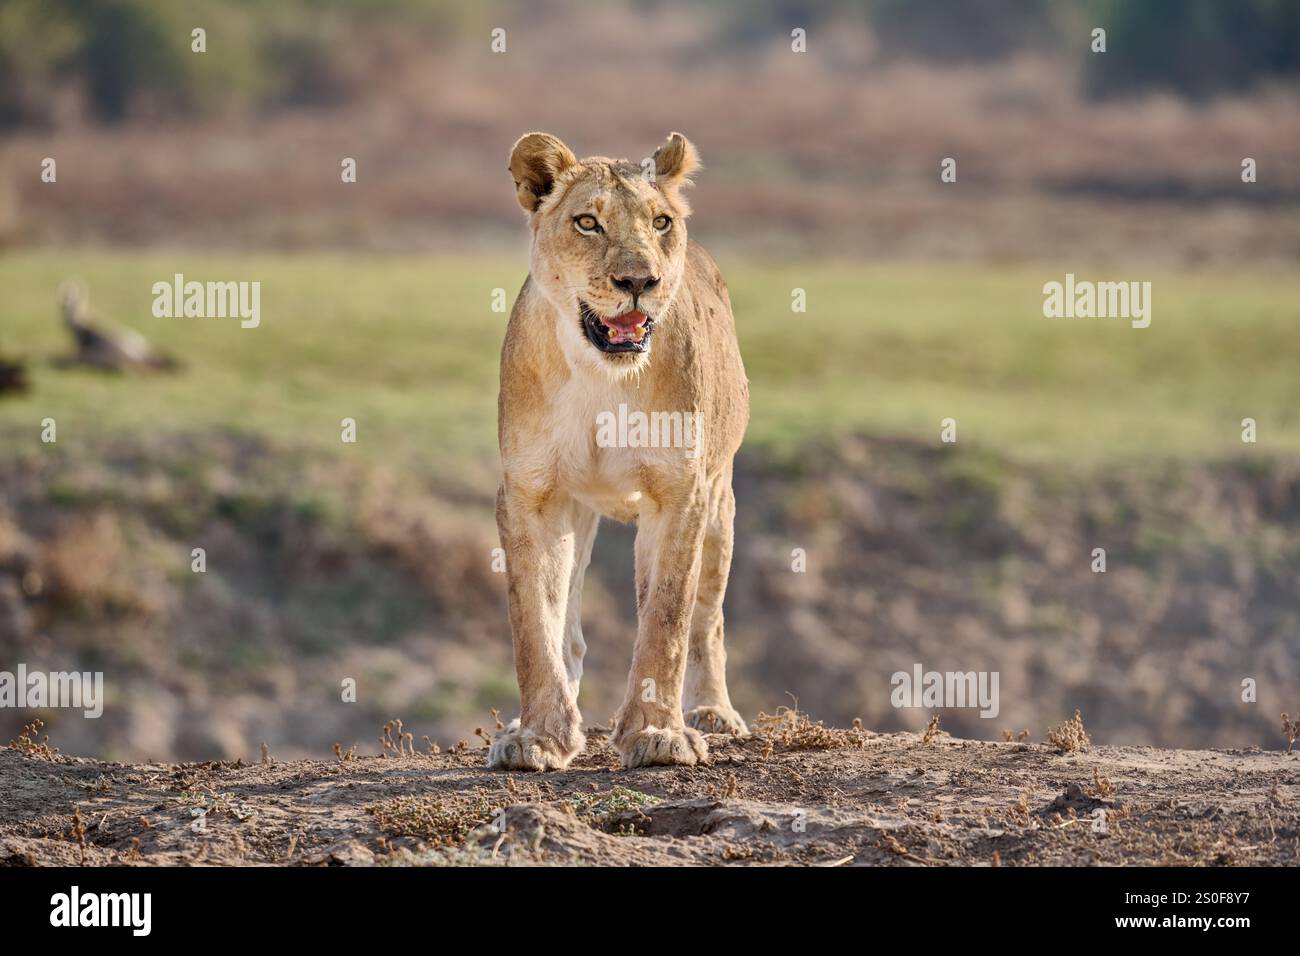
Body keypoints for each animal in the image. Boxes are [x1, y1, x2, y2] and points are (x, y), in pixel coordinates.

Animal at [489, 131, 750, 771]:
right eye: (588, 222)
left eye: (660, 222)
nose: (640, 282)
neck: (599, 374)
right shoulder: (530, 495)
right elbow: (535, 623)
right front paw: (538, 735)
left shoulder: (682, 493)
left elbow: (667, 620)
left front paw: (658, 733)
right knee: (569, 625)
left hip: (721, 500)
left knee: (709, 619)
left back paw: (713, 712)